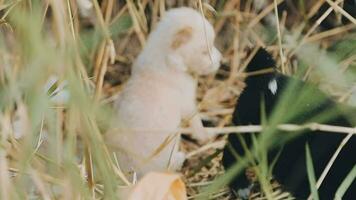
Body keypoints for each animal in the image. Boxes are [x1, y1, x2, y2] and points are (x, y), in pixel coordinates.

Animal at [105, 7, 221, 177]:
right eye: (205, 51)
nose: (221, 60)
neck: (168, 60)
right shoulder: (187, 103)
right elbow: (196, 122)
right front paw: (206, 135)